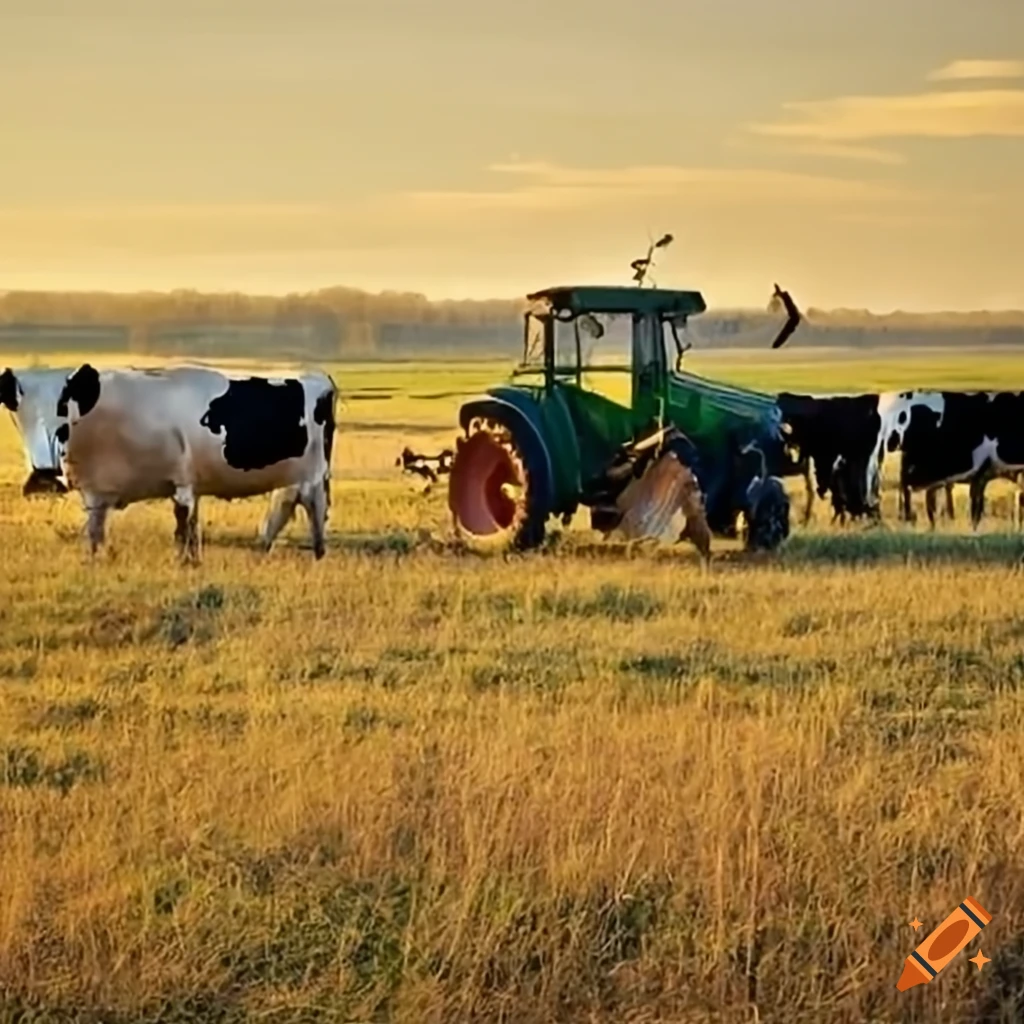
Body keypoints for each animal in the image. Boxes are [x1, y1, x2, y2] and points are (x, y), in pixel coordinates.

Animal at [55, 363, 336, 561]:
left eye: (64, 403)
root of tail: (318, 375)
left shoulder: (182, 482)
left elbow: (182, 525)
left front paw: (182, 560)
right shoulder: (99, 491)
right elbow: (96, 529)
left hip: (314, 475)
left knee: (315, 510)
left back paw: (318, 554)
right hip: (293, 476)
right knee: (285, 504)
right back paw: (266, 548)